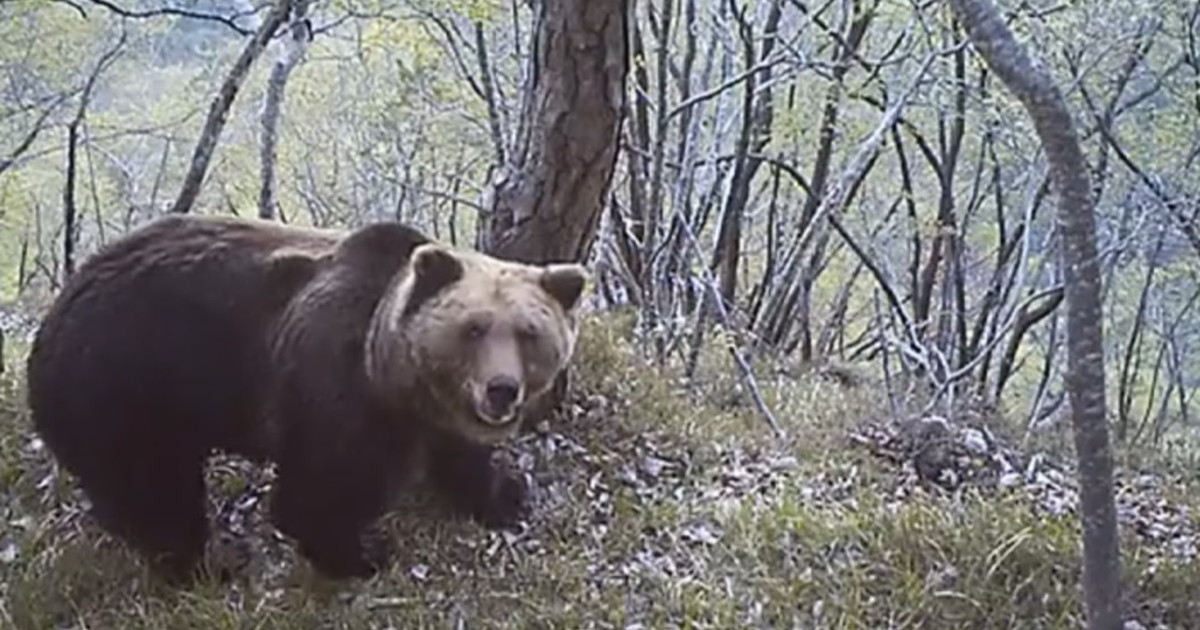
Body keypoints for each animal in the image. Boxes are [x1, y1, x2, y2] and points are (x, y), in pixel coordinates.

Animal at [24, 213, 588, 583]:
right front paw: (361, 552)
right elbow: (321, 488)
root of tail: (52, 319)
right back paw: (211, 562)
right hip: (126, 386)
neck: (389, 370)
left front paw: (506, 493)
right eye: (473, 329)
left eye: (528, 333)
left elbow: (461, 456)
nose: (502, 389)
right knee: (158, 488)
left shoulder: (432, 413)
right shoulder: (336, 387)